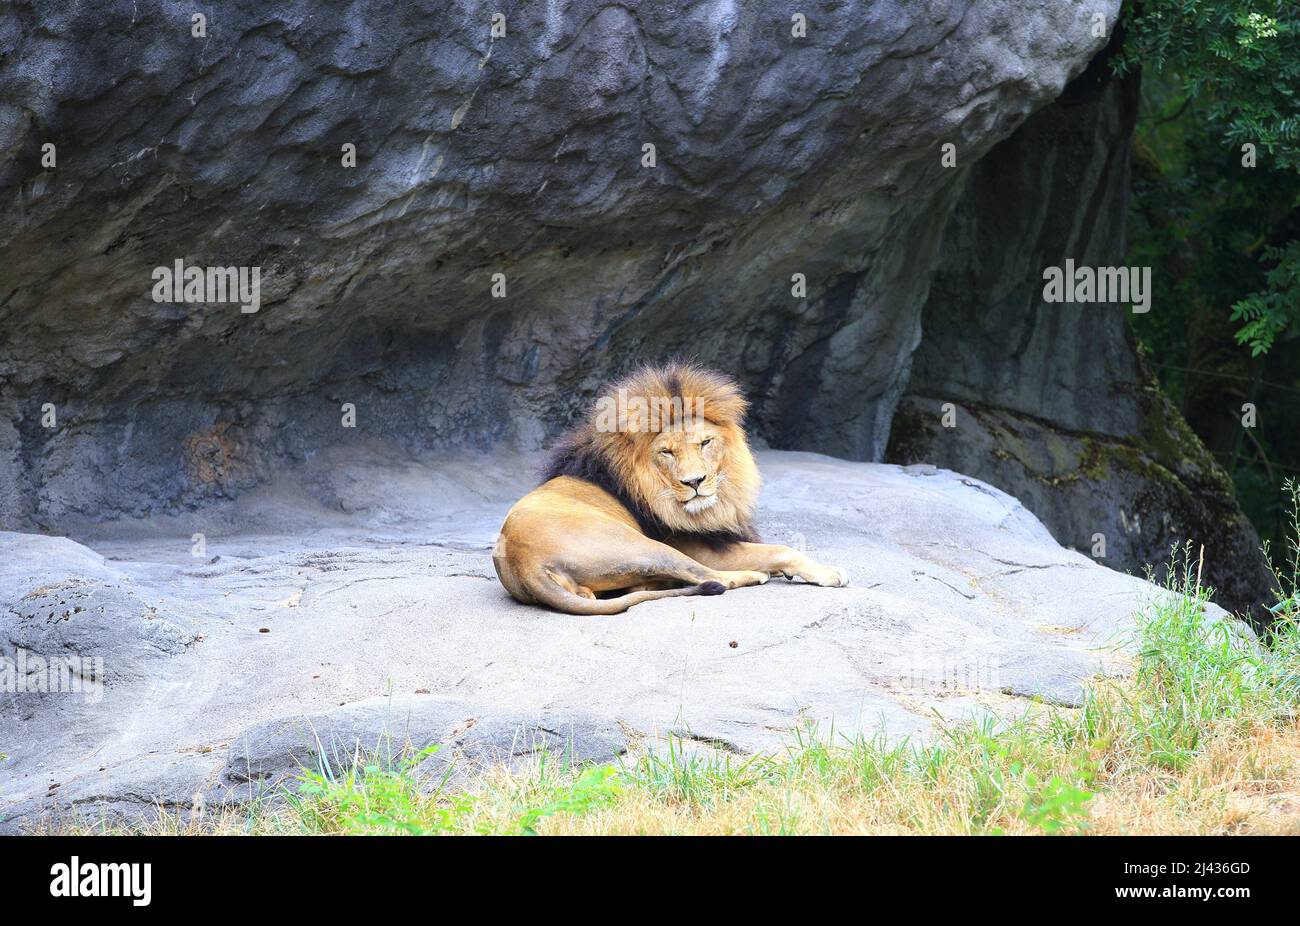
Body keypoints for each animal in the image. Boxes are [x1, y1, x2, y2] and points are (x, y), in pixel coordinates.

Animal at [492, 362, 850, 614]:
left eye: (705, 443)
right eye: (666, 452)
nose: (694, 482)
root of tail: (526, 564)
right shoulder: (702, 547)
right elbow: (782, 549)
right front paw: (828, 571)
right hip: (647, 548)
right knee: (710, 578)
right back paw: (750, 575)